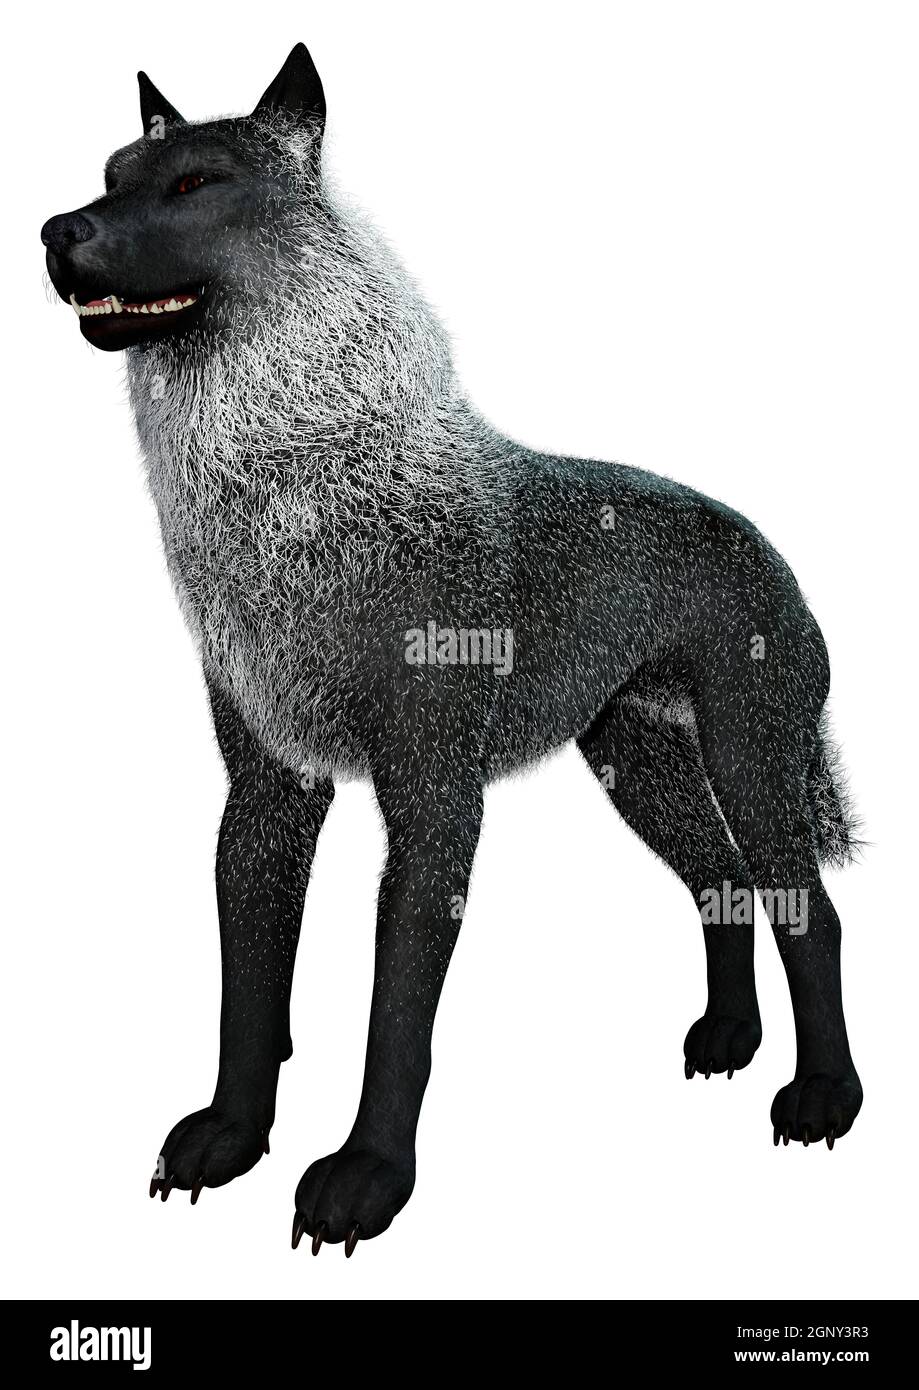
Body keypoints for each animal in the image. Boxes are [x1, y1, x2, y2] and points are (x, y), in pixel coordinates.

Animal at [41, 43, 862, 1255]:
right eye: (109, 174)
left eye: (193, 184)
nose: (56, 230)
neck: (301, 507)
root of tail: (769, 548)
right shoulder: (268, 796)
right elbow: (249, 997)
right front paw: (230, 1139)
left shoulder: (431, 802)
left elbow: (395, 1018)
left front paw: (365, 1181)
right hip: (639, 770)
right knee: (719, 887)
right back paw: (727, 1042)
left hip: (751, 768)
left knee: (812, 915)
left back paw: (824, 1099)